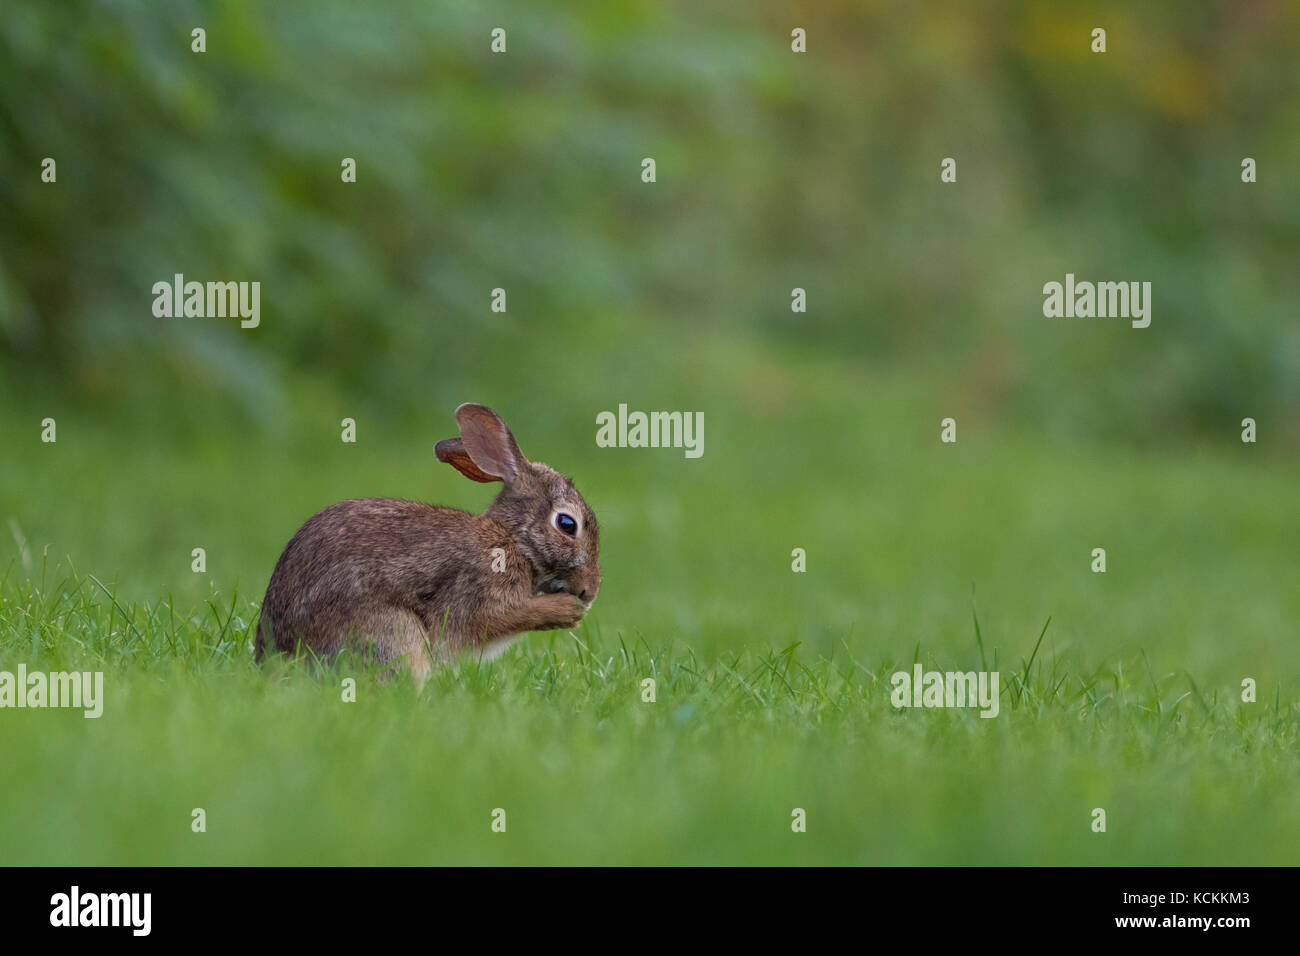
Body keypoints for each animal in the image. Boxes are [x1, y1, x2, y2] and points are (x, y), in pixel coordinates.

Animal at [255, 403, 600, 683]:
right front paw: (568, 610)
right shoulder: (479, 594)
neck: (513, 539)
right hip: (393, 633)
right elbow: (499, 617)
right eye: (567, 524)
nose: (590, 591)